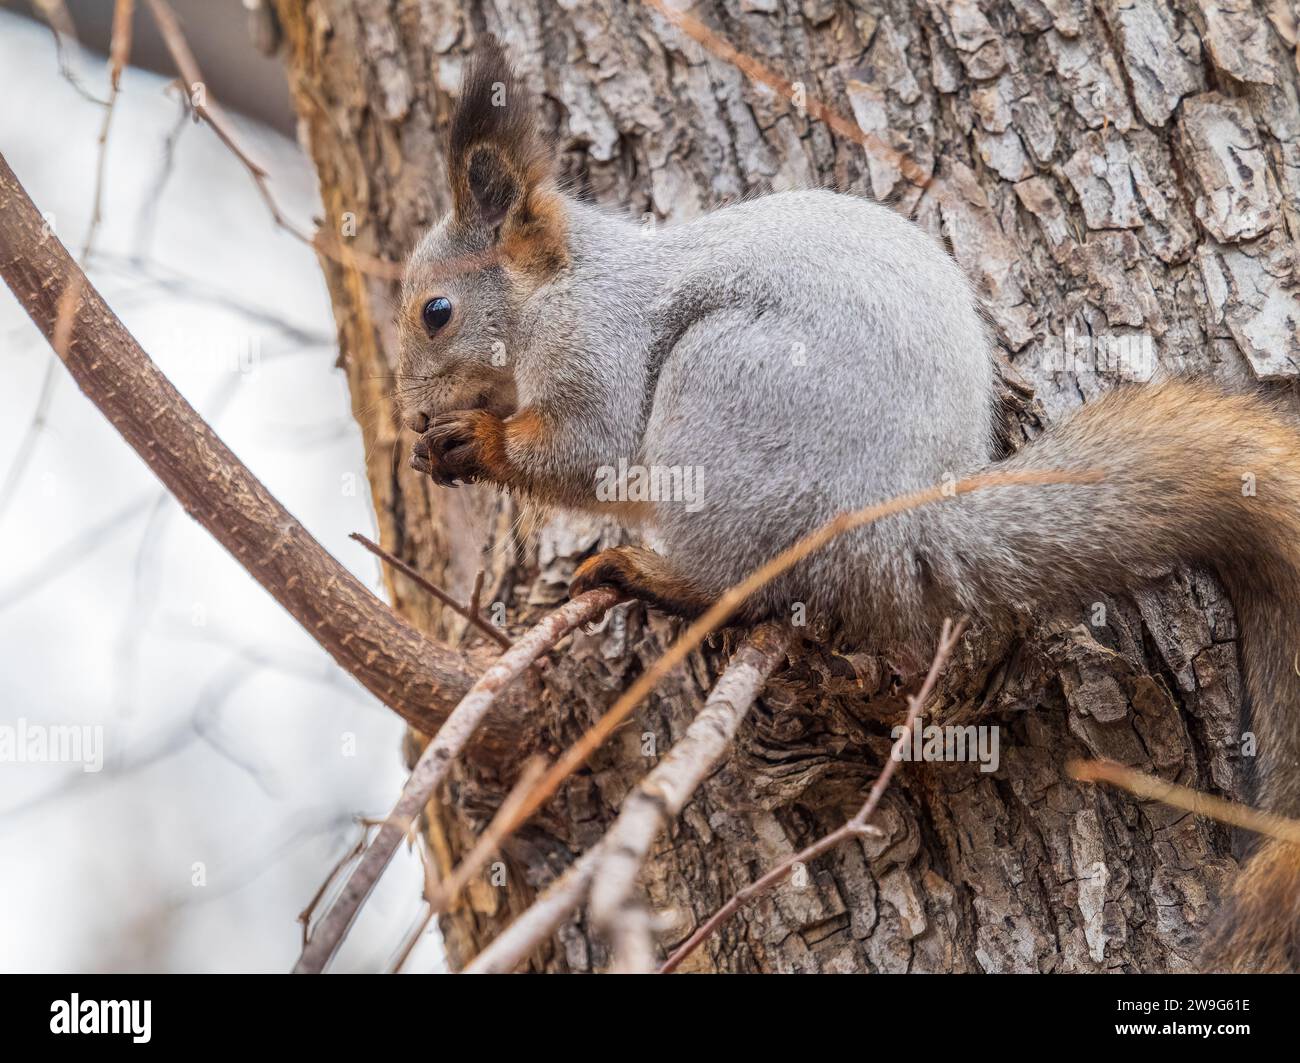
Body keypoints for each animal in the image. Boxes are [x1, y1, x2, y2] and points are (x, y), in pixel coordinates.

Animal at [397, 36, 1300, 972]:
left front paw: (472, 440)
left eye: (437, 311)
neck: (561, 288)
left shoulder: (596, 352)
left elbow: (589, 449)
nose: (409, 408)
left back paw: (652, 574)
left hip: (721, 397)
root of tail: (892, 518)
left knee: (739, 580)